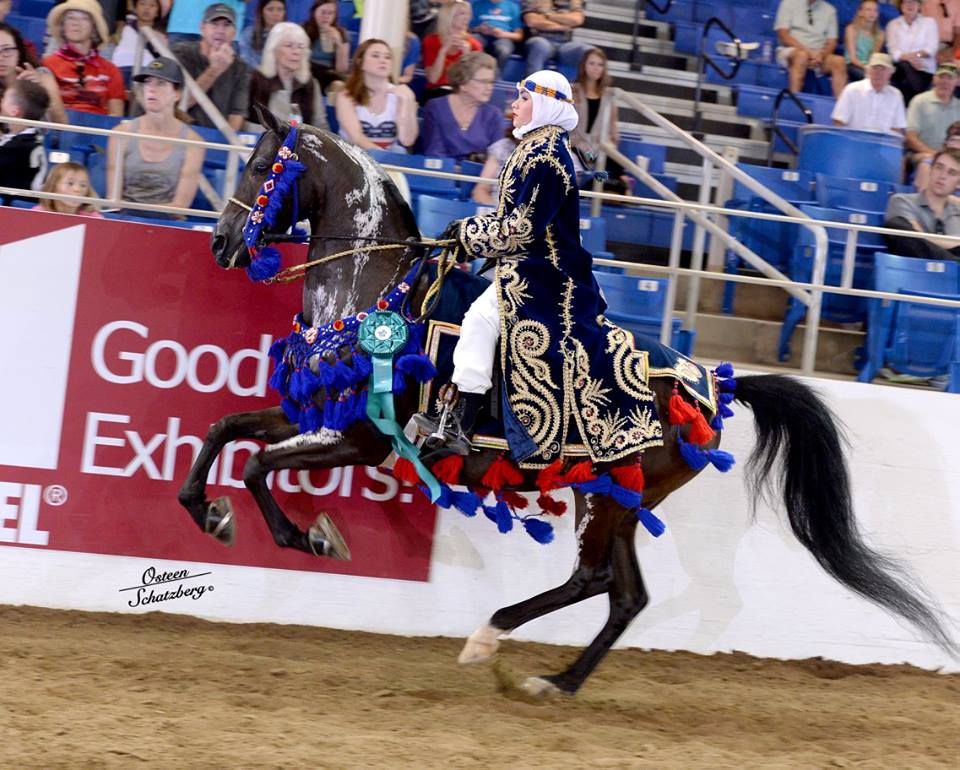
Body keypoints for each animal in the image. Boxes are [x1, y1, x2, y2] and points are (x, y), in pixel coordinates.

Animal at [180, 107, 955, 697]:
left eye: (260, 166)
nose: (218, 243)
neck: (374, 290)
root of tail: (709, 381)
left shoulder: (359, 438)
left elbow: (255, 466)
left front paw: (307, 536)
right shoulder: (314, 417)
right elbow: (224, 432)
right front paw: (208, 511)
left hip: (605, 493)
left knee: (591, 578)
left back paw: (490, 636)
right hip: (622, 496)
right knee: (625, 594)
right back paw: (558, 680)